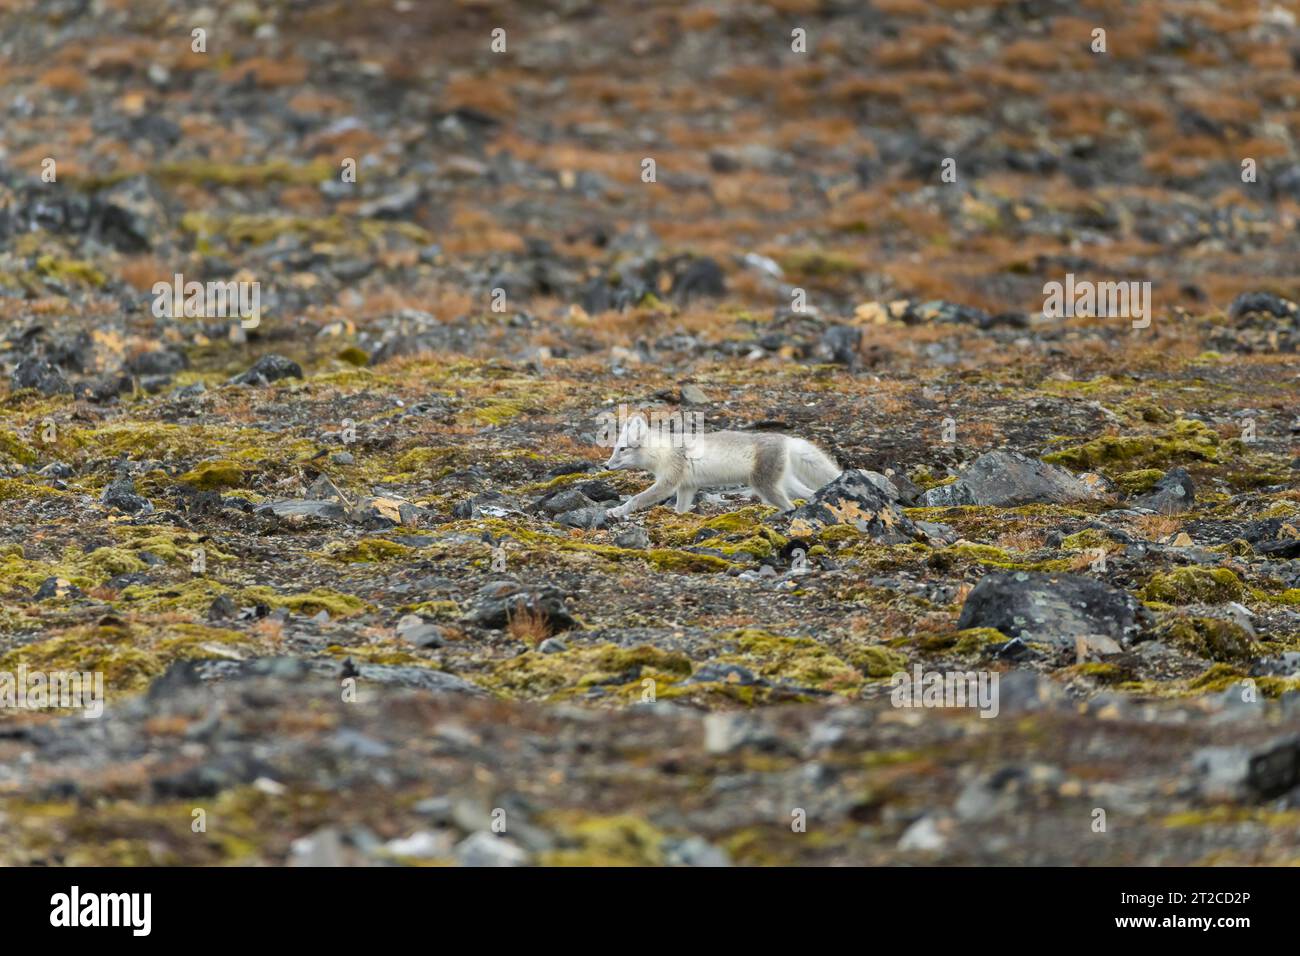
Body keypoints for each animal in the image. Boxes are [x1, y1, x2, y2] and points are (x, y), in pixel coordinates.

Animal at [603, 415, 841, 518]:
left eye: (622, 449)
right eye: (614, 449)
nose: (605, 466)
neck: (663, 452)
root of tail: (787, 440)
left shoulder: (669, 481)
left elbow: (637, 499)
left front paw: (617, 510)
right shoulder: (686, 486)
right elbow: (681, 507)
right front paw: (680, 517)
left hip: (765, 486)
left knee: (788, 504)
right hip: (785, 482)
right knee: (809, 493)